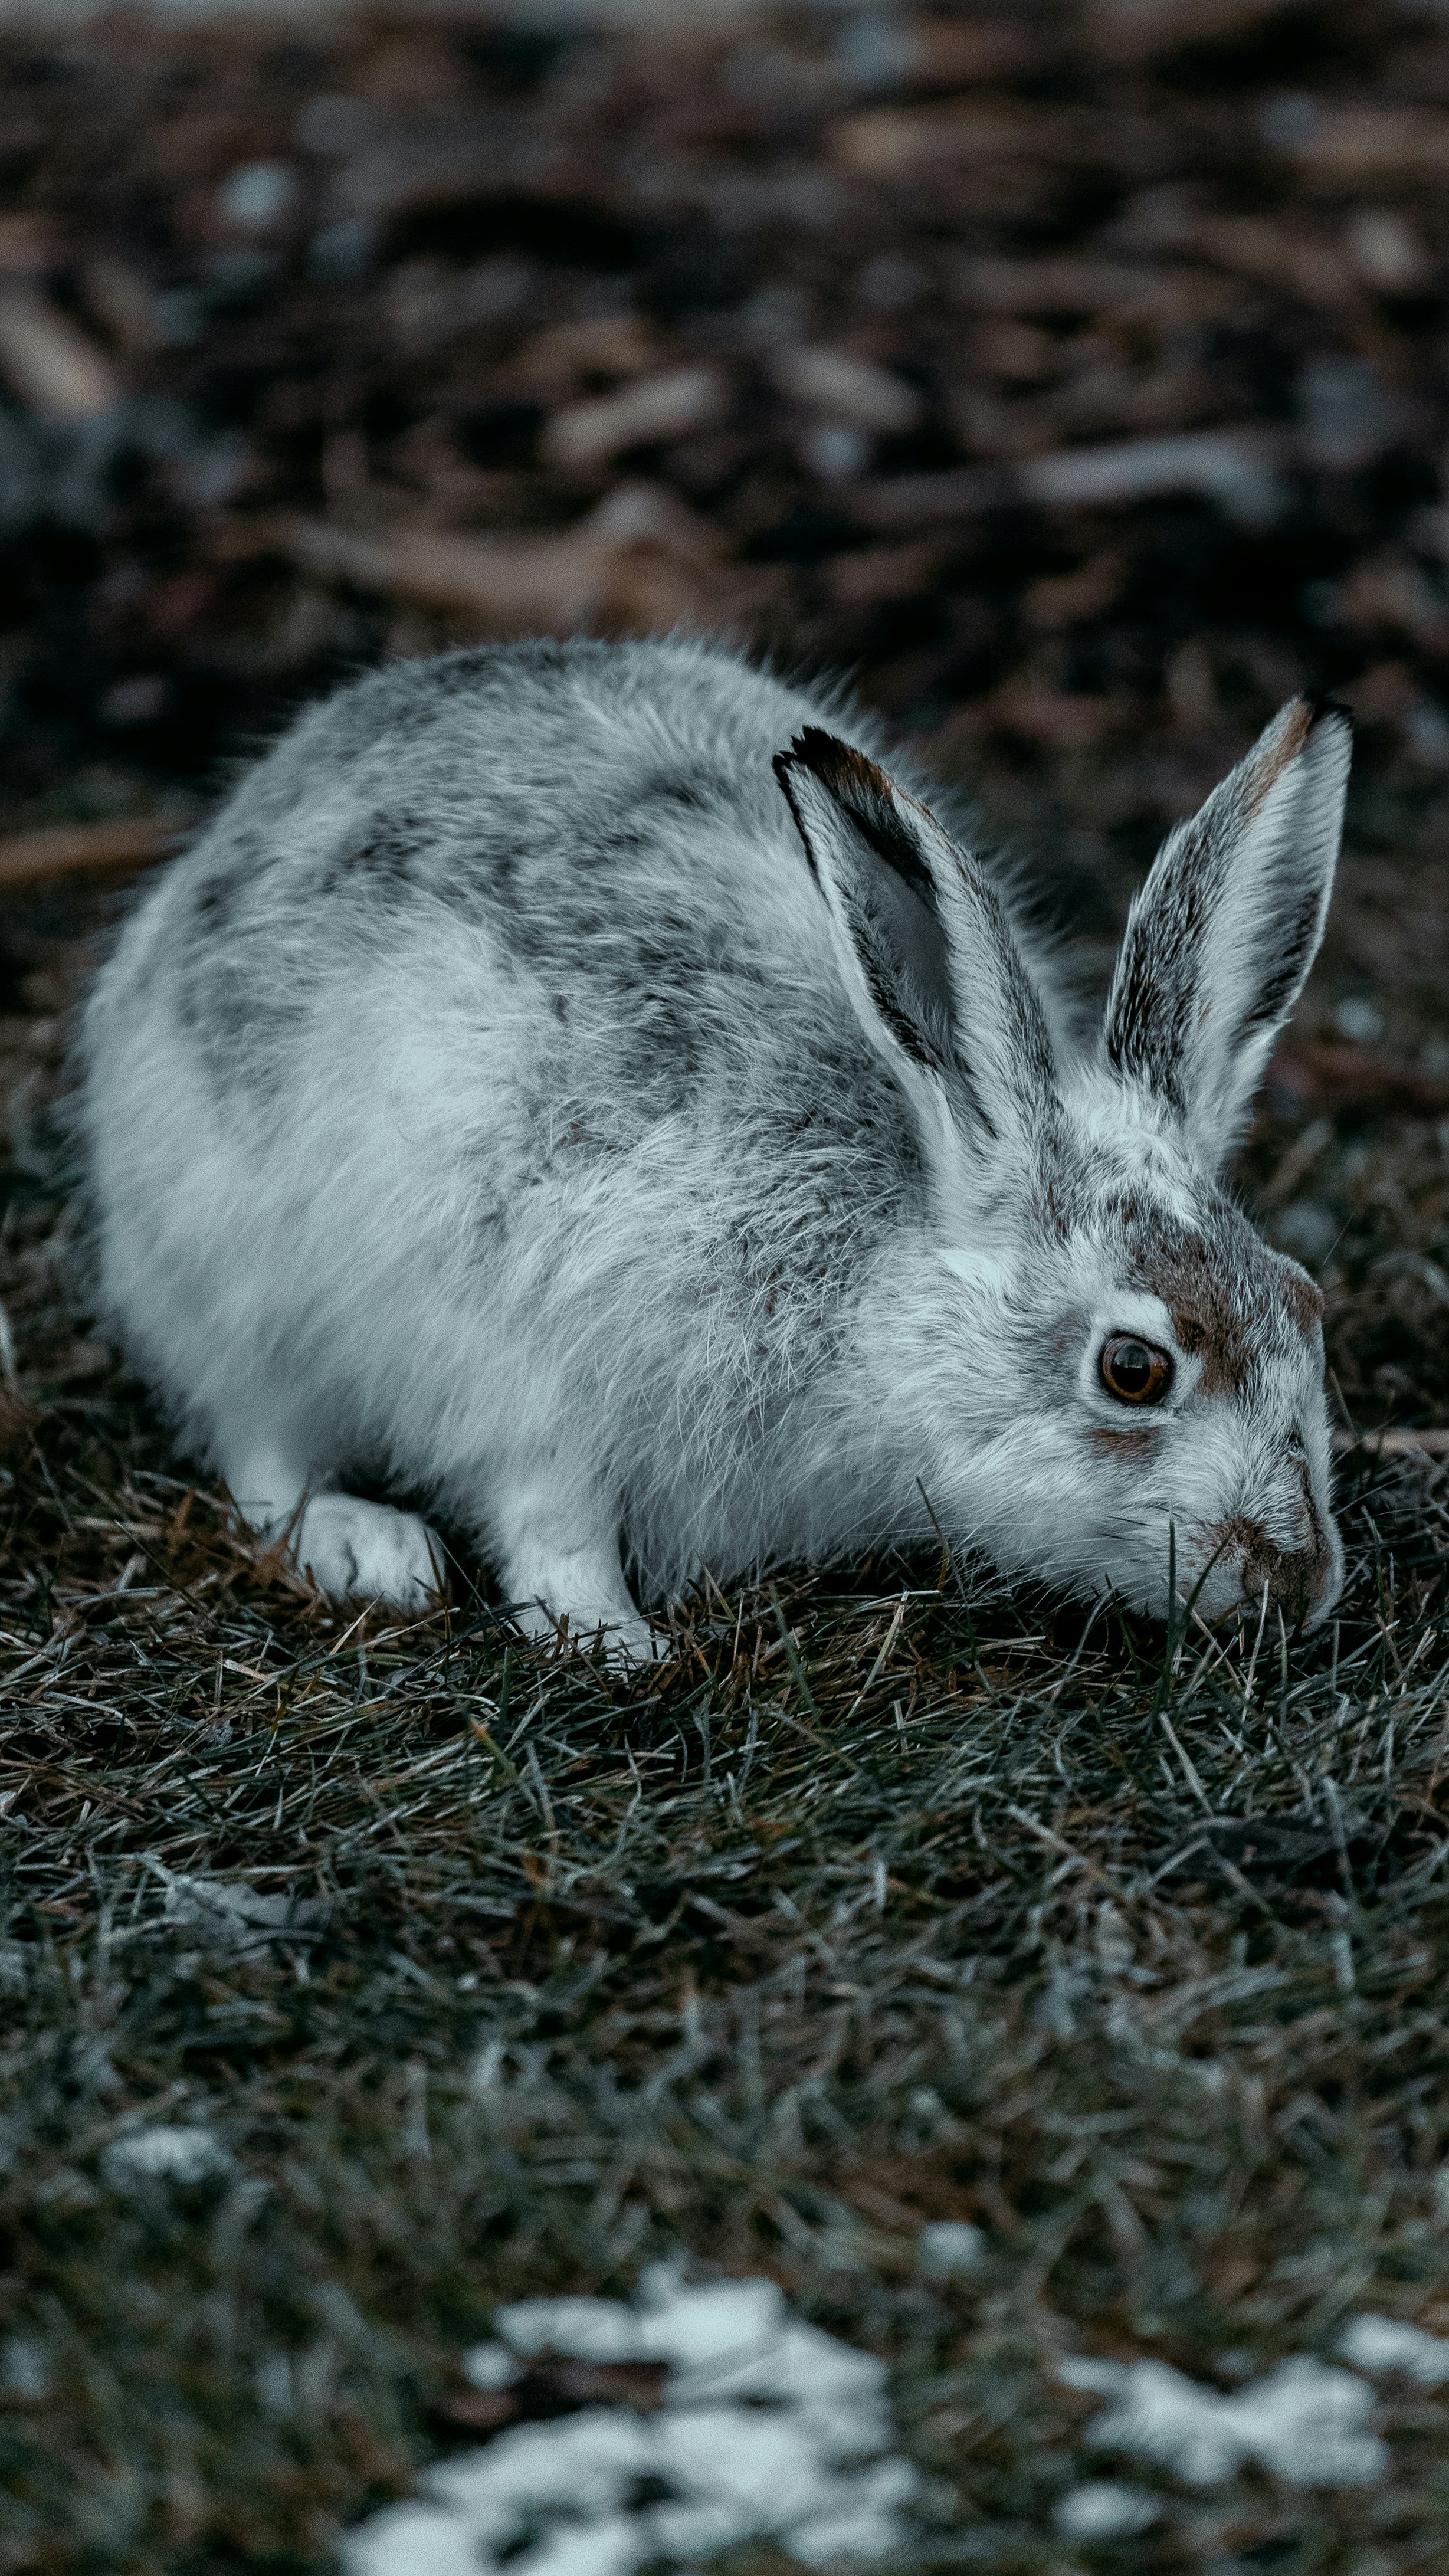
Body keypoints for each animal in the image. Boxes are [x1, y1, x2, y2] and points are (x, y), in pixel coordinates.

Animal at [73, 635, 1348, 1656]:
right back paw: (369, 1547)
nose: (1296, 1581)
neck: (878, 1277)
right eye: (1133, 1369)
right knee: (260, 1451)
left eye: (1304, 1300)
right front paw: (612, 1641)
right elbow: (551, 1520)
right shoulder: (538, 1375)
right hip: (231, 1270)